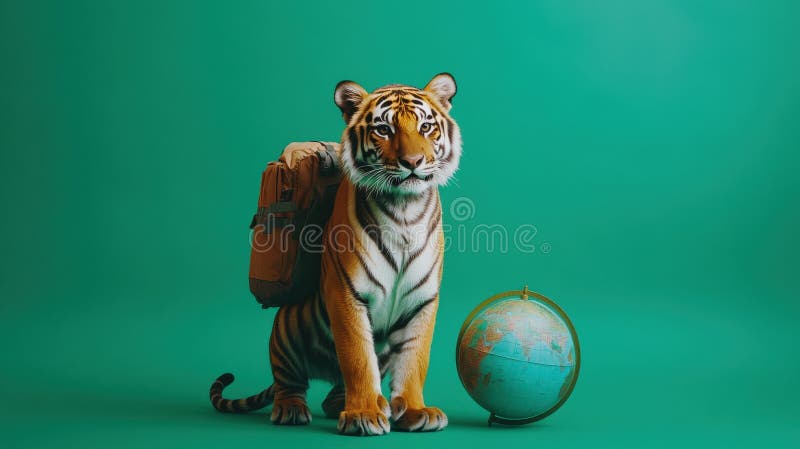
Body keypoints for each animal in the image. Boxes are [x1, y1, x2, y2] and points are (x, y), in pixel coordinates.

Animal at [210, 73, 462, 436]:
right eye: (384, 130)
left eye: (426, 127)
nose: (413, 163)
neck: (405, 211)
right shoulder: (346, 294)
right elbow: (357, 358)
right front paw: (363, 415)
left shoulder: (423, 300)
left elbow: (415, 359)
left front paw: (415, 411)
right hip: (286, 330)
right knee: (289, 382)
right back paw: (292, 409)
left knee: (334, 394)